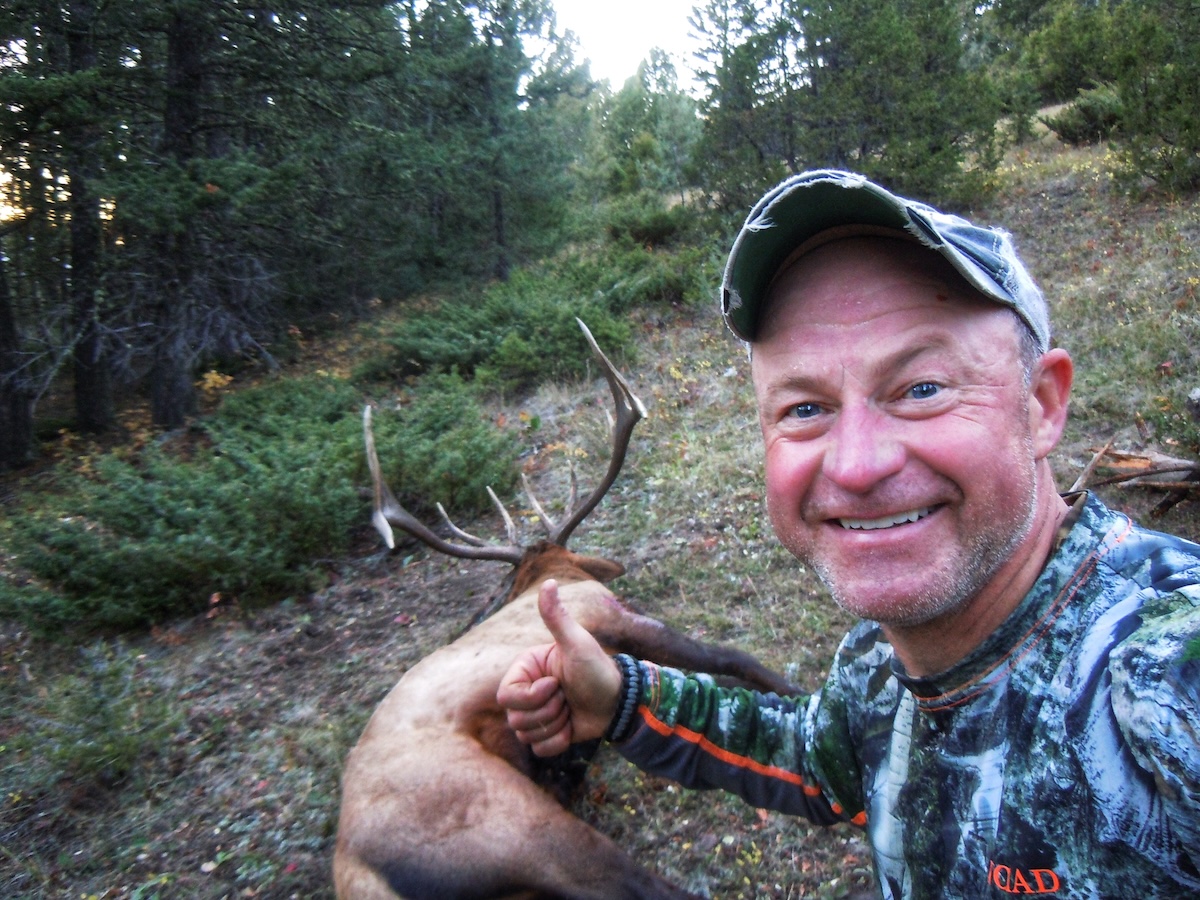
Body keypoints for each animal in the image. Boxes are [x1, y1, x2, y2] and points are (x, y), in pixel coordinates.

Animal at [333, 320, 797, 900]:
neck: (555, 576)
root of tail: (357, 872)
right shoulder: (611, 617)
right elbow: (730, 657)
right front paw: (796, 690)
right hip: (503, 819)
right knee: (642, 884)